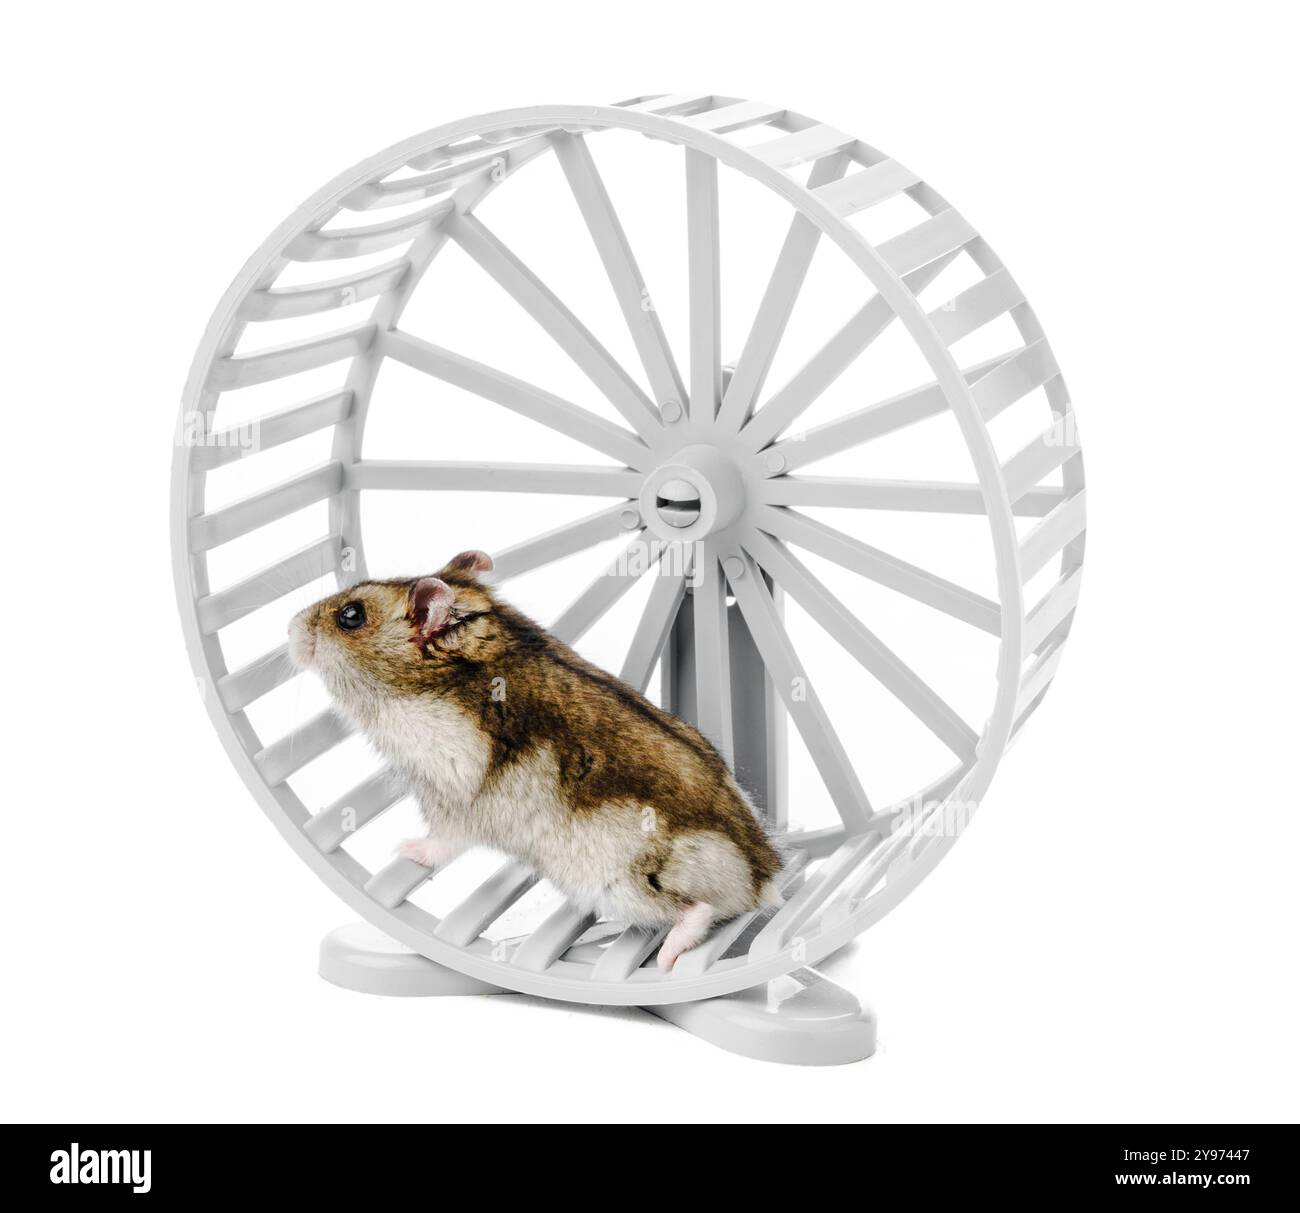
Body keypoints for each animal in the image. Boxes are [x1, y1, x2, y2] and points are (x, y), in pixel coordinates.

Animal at [288, 549, 783, 970]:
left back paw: (665, 957)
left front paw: (404, 849)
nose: (289, 627)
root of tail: (764, 878)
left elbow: (442, 842)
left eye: (351, 615)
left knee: (698, 910)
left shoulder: (452, 796)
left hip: (621, 883)